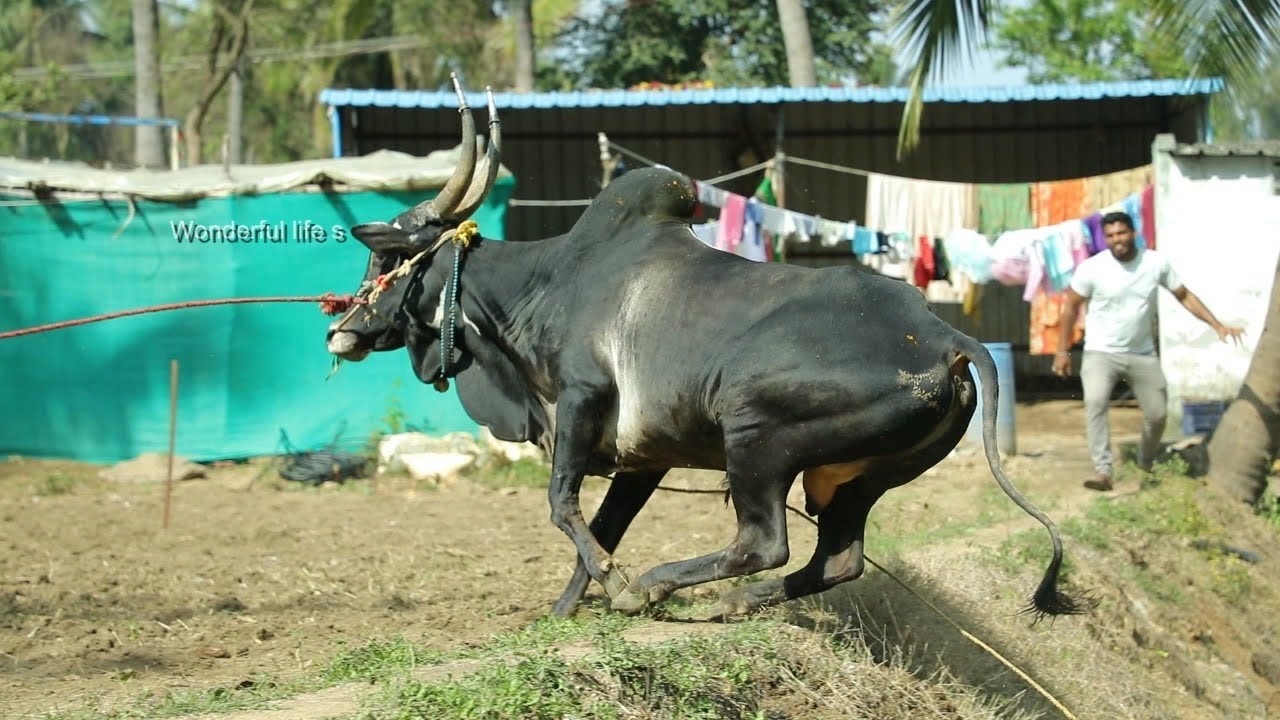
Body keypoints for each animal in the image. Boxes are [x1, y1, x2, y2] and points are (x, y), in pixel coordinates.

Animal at [326, 79, 1085, 621]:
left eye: (387, 257)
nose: (341, 328)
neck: (546, 285)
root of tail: (943, 336)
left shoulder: (580, 401)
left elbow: (563, 505)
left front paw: (620, 588)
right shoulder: (643, 457)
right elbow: (603, 524)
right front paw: (564, 610)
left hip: (756, 434)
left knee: (765, 543)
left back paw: (666, 586)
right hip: (857, 475)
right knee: (837, 560)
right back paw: (731, 601)